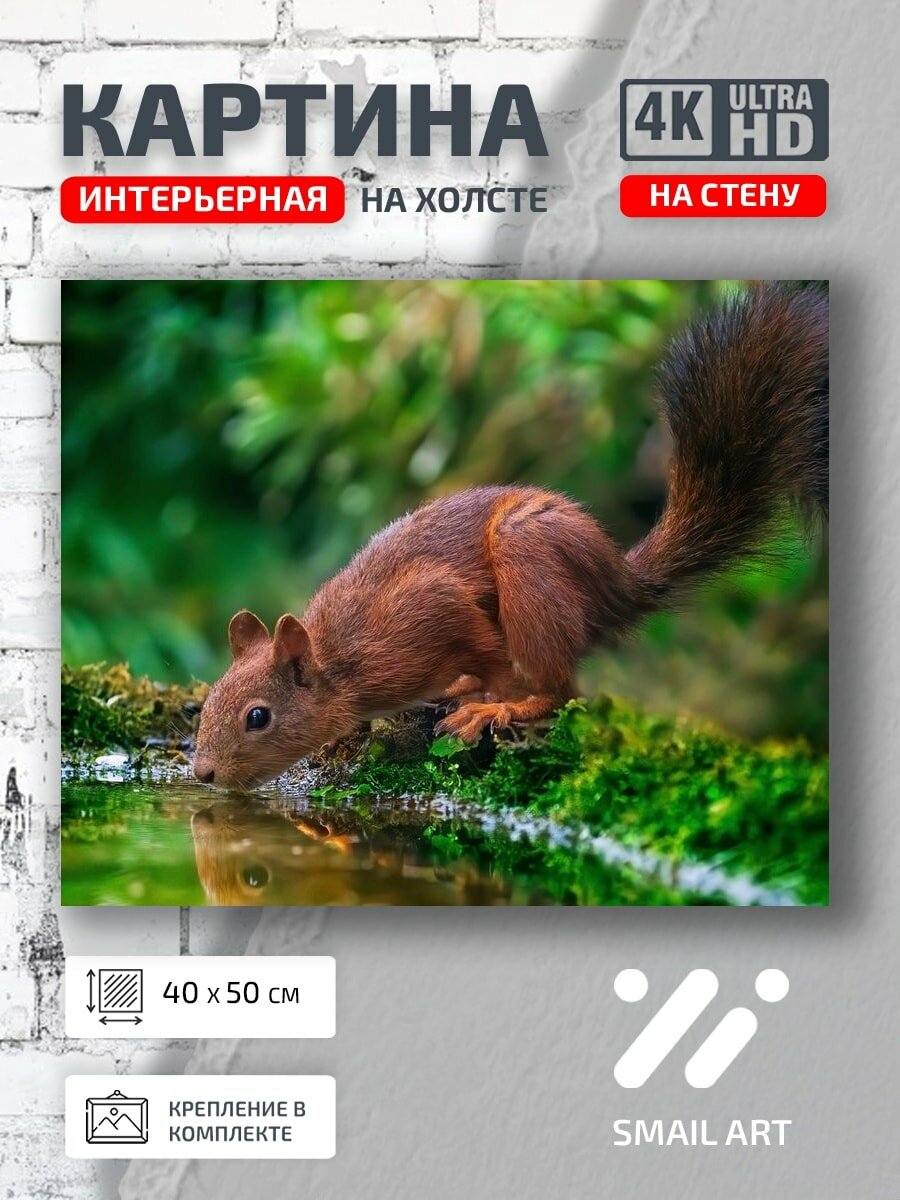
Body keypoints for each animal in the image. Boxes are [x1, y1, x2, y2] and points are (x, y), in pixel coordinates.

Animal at [193, 282, 828, 790]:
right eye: (207, 703)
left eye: (258, 716)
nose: (203, 773)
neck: (343, 659)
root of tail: (619, 584)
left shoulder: (432, 609)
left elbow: (490, 651)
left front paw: (488, 705)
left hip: (530, 564)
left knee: (564, 686)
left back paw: (504, 705)